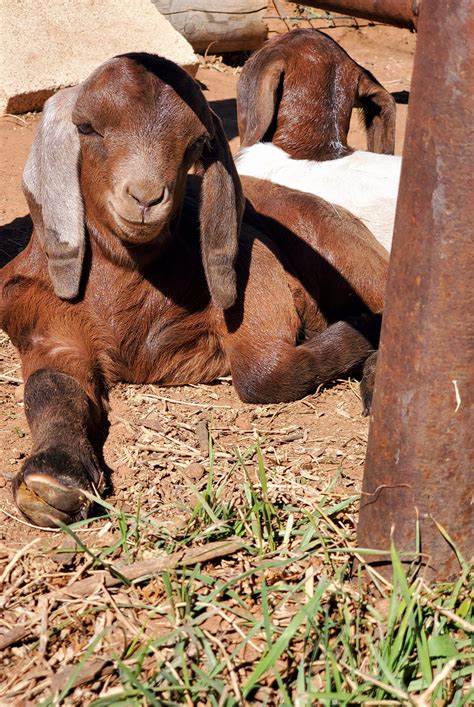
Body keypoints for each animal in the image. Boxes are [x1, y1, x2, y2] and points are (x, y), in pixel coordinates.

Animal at [0, 53, 387, 527]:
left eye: (197, 144)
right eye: (87, 128)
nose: (145, 198)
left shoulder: (252, 263)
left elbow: (263, 374)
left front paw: (361, 327)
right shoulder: (46, 321)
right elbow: (50, 385)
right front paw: (51, 481)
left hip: (335, 244)